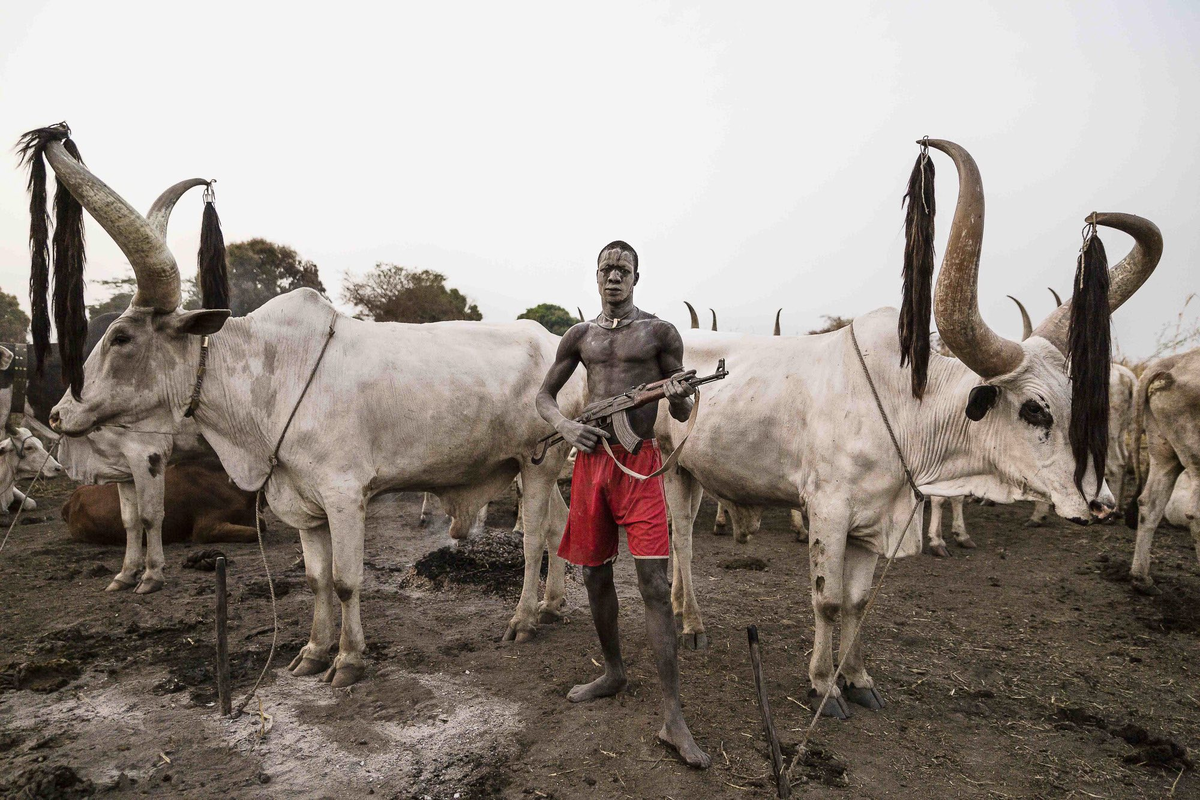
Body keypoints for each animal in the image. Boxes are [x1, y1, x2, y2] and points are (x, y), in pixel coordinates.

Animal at [30, 125, 583, 690]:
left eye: (121, 337)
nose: (58, 414)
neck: (271, 374)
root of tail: (555, 342)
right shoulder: (303, 504)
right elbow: (317, 579)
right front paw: (315, 652)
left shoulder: (345, 495)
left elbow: (345, 580)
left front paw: (349, 659)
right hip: (538, 466)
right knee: (558, 525)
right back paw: (552, 606)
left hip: (536, 463)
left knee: (534, 537)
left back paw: (523, 619)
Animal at [652, 139, 1156, 719]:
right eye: (1035, 409)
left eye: (1079, 402)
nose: (1101, 503)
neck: (901, 408)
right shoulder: (828, 510)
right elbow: (827, 600)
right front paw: (823, 686)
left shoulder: (876, 520)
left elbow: (857, 601)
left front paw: (857, 678)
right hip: (671, 468)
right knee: (684, 540)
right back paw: (691, 625)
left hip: (694, 471)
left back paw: (683, 612)